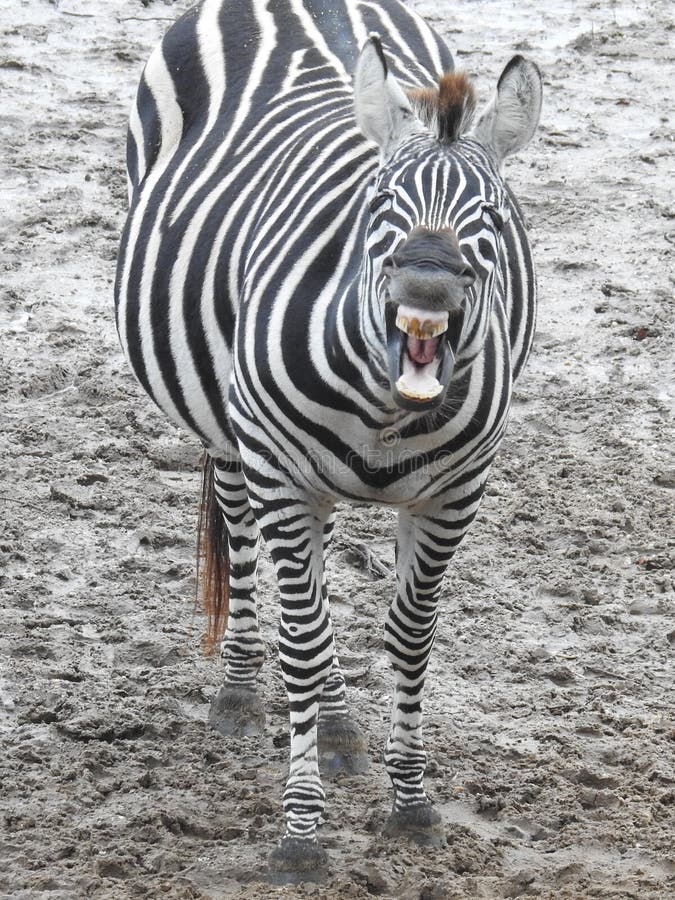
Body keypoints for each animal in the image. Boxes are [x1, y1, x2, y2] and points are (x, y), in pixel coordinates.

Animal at [115, 0, 542, 874]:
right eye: (379, 207)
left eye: (489, 217)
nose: (426, 285)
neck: (387, 409)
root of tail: (289, 4)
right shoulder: (280, 470)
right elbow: (304, 640)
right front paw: (301, 833)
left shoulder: (454, 494)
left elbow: (409, 638)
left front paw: (410, 801)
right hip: (235, 431)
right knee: (250, 542)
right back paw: (242, 687)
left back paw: (342, 722)